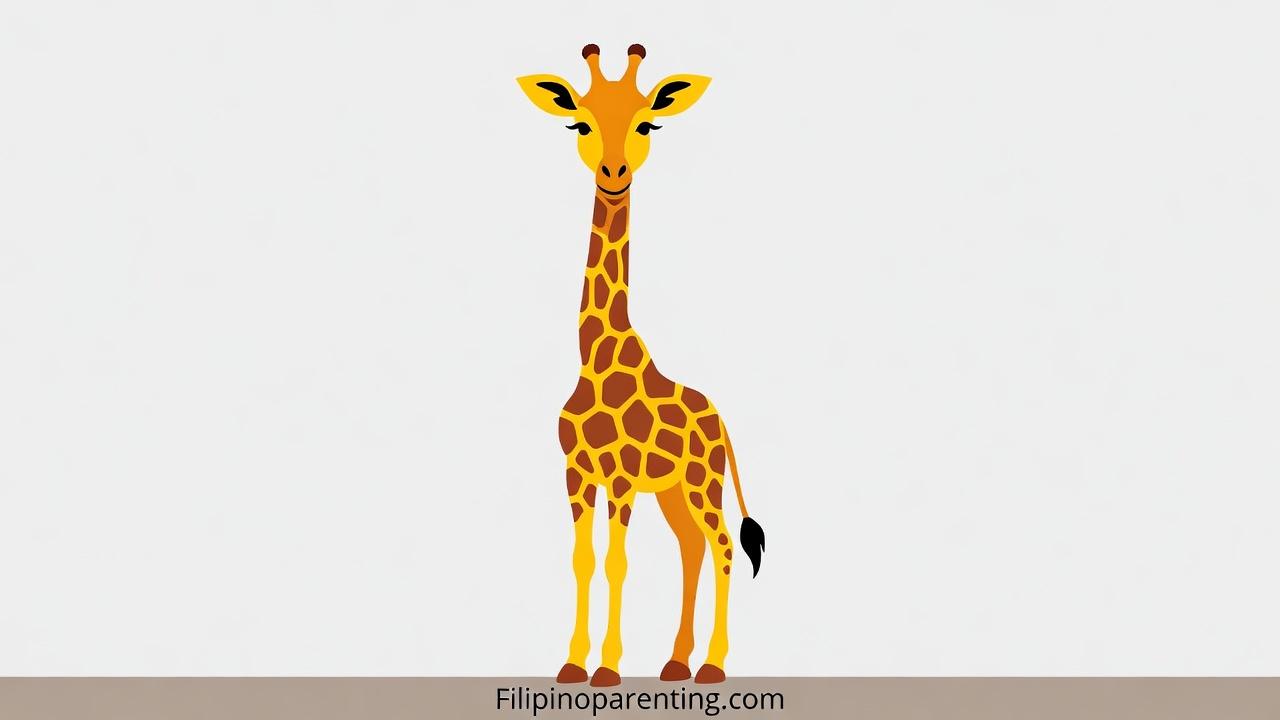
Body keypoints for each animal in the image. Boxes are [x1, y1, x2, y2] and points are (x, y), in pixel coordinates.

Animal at [517, 44, 766, 687]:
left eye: (647, 124)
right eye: (579, 124)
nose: (614, 173)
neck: (593, 356)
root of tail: (721, 421)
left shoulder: (622, 477)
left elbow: (617, 561)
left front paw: (606, 669)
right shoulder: (577, 473)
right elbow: (583, 559)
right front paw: (572, 664)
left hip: (702, 482)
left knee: (722, 546)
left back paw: (712, 666)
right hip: (675, 491)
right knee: (691, 548)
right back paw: (676, 662)